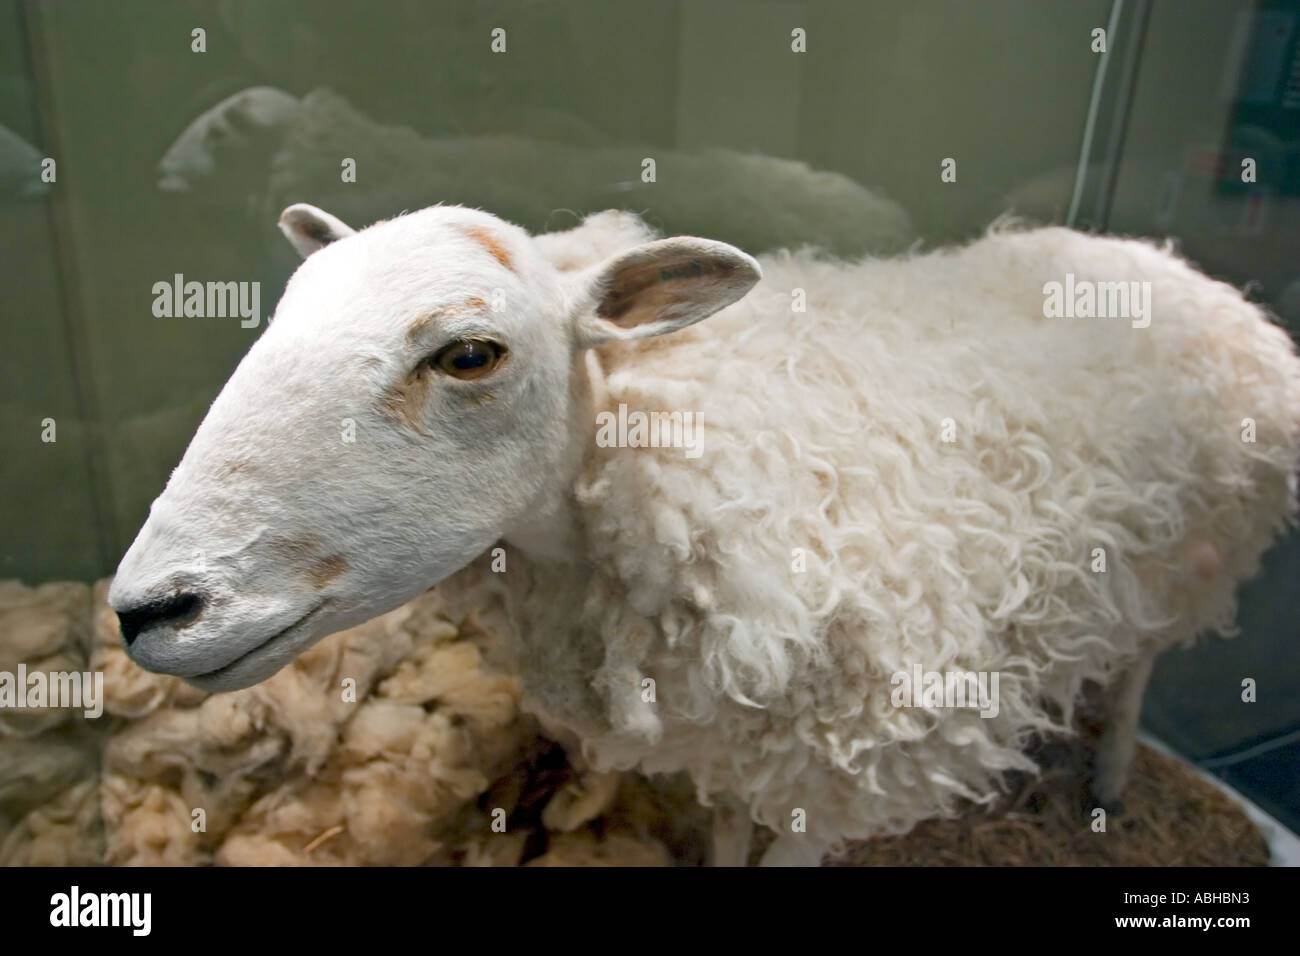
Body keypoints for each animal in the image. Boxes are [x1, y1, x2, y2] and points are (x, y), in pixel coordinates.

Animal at [108, 202, 1300, 865]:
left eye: (470, 354)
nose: (149, 609)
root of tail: (1160, 255)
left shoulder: (844, 762)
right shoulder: (729, 742)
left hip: (1191, 554)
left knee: (1141, 665)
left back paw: (1111, 779)